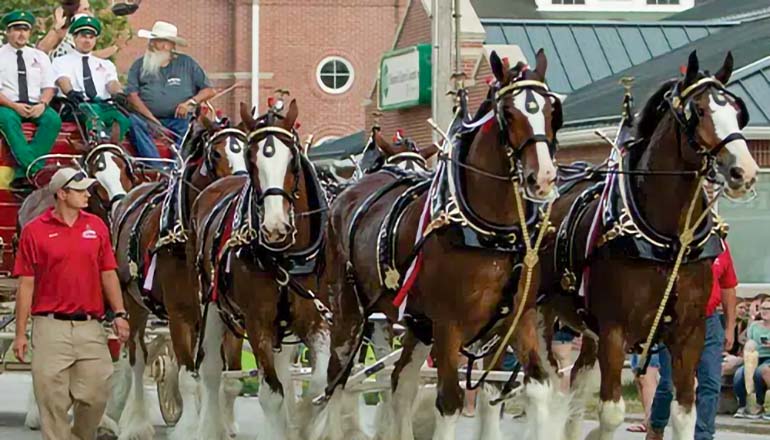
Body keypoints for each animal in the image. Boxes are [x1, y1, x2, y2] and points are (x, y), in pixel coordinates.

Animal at [536, 51, 760, 440]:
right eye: (699, 111)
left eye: (736, 109)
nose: (742, 171)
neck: (667, 240)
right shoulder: (614, 330)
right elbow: (610, 414)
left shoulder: (688, 333)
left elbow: (684, 413)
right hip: (539, 316)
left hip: (585, 328)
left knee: (577, 379)